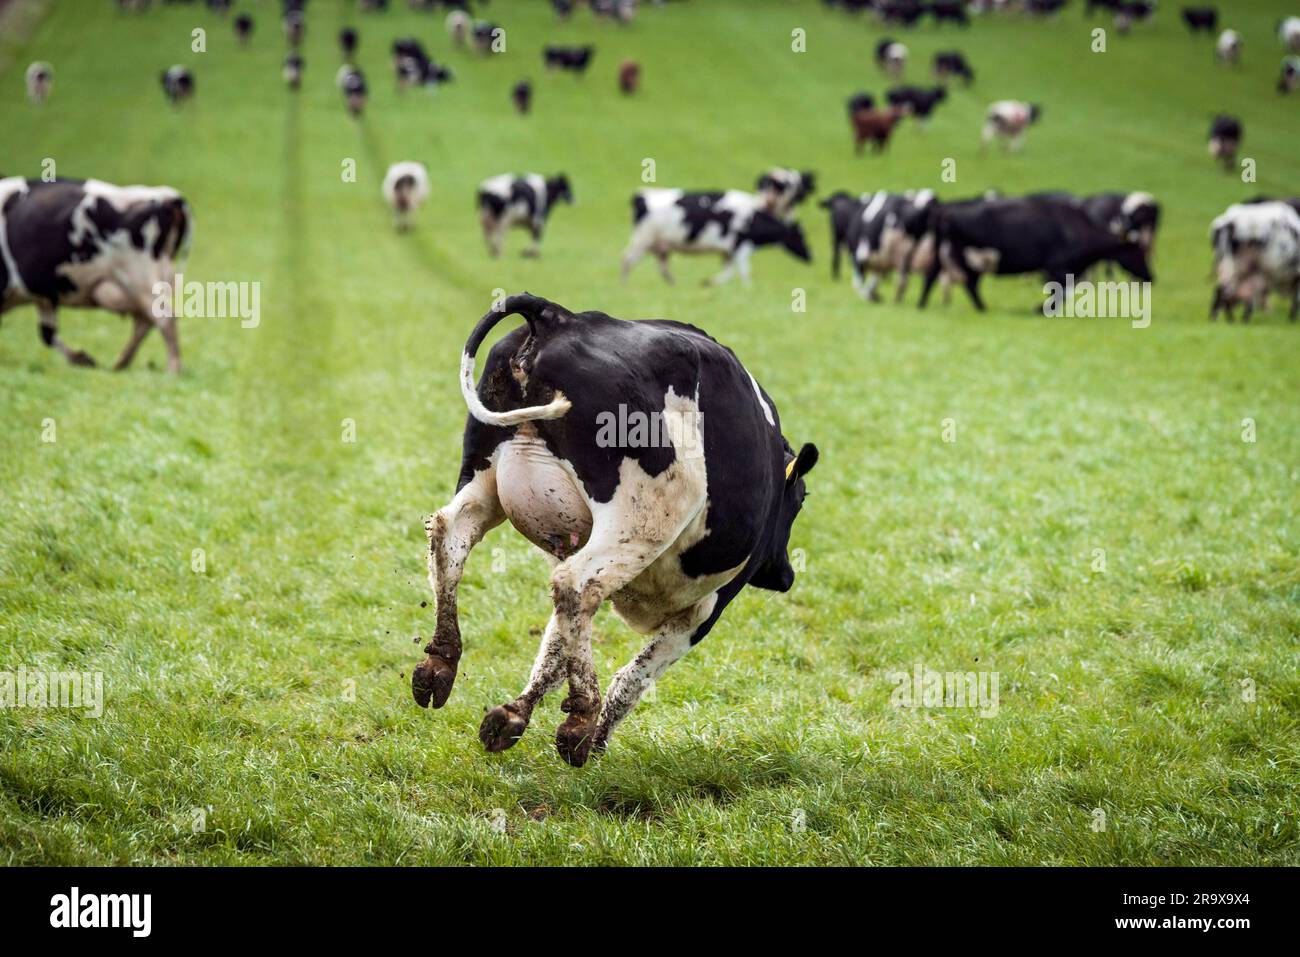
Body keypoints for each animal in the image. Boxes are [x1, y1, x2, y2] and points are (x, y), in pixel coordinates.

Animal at [0, 177, 190, 372]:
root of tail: (167, 197)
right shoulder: (45, 295)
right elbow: (47, 333)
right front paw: (81, 359)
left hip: (138, 277)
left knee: (165, 319)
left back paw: (173, 369)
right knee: (145, 321)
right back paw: (121, 363)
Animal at [411, 292, 820, 765]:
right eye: (801, 499)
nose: (785, 574)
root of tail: (560, 317)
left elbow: (555, 647)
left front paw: (513, 715)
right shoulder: (705, 609)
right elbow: (635, 675)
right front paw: (595, 733)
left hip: (485, 481)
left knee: (451, 535)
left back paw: (439, 666)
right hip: (641, 518)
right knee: (575, 585)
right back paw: (581, 719)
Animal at [621, 188, 811, 286]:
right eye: (800, 237)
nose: (811, 257)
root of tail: (640, 196)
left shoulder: (729, 251)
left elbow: (729, 271)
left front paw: (711, 282)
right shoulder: (740, 246)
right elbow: (743, 271)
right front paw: (748, 288)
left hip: (659, 243)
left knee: (662, 264)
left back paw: (673, 283)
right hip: (643, 238)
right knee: (627, 259)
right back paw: (625, 286)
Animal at [918, 196, 1153, 312]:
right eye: (1138, 253)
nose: (1152, 277)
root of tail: (946, 208)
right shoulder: (1056, 267)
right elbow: (1062, 291)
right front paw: (1041, 309)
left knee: (935, 276)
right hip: (967, 255)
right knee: (968, 283)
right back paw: (982, 308)